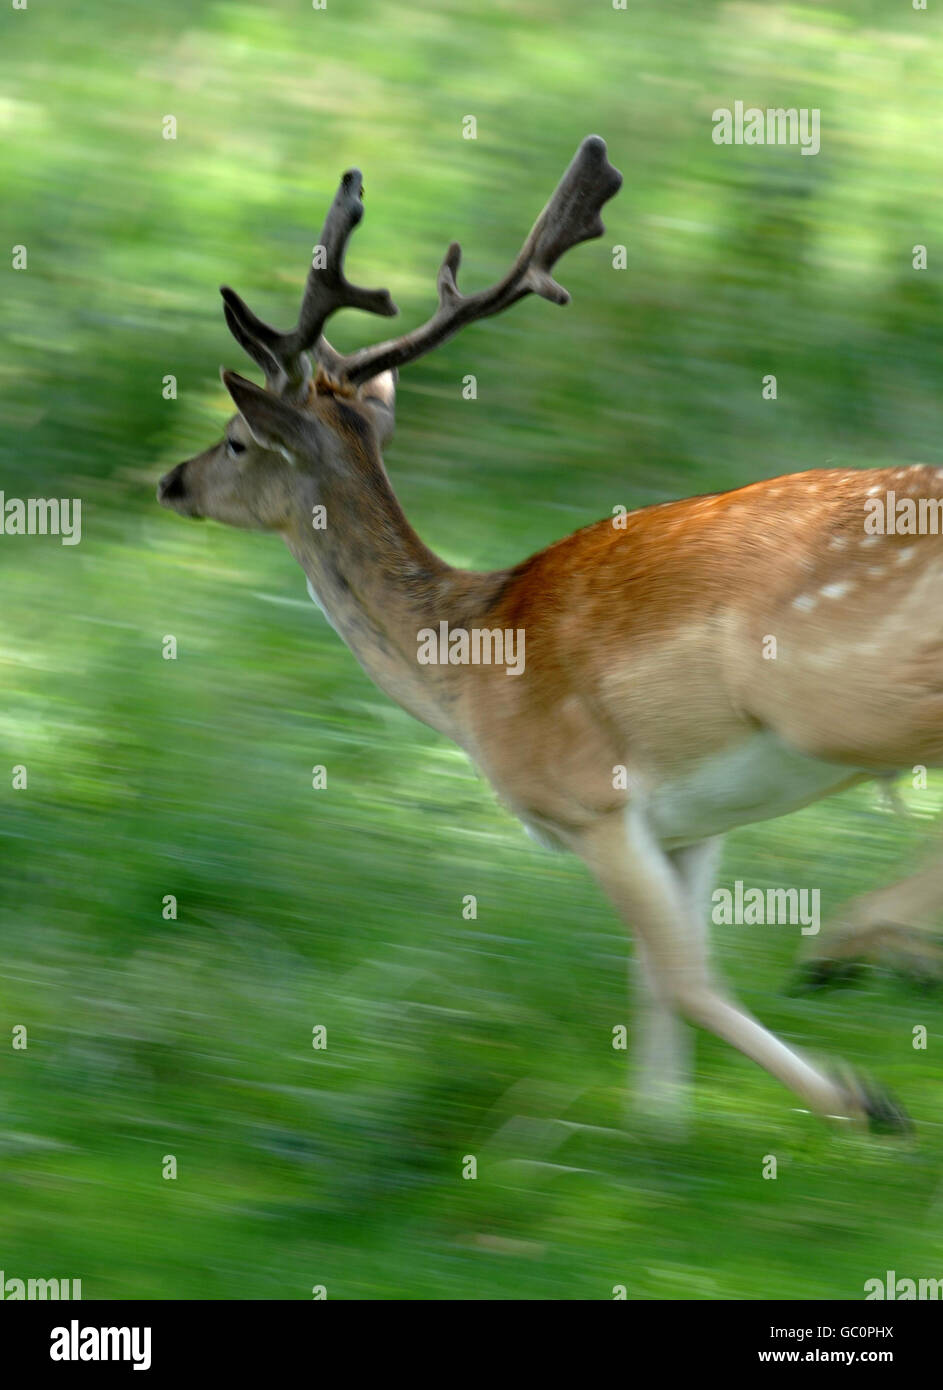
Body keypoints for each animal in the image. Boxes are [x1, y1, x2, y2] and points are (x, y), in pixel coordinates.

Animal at [158, 134, 942, 1135]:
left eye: (234, 439)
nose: (170, 481)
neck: (463, 663)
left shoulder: (588, 798)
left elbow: (683, 979)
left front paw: (863, 1103)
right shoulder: (691, 824)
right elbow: (655, 982)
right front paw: (656, 1131)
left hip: (834, 695)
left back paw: (850, 950)